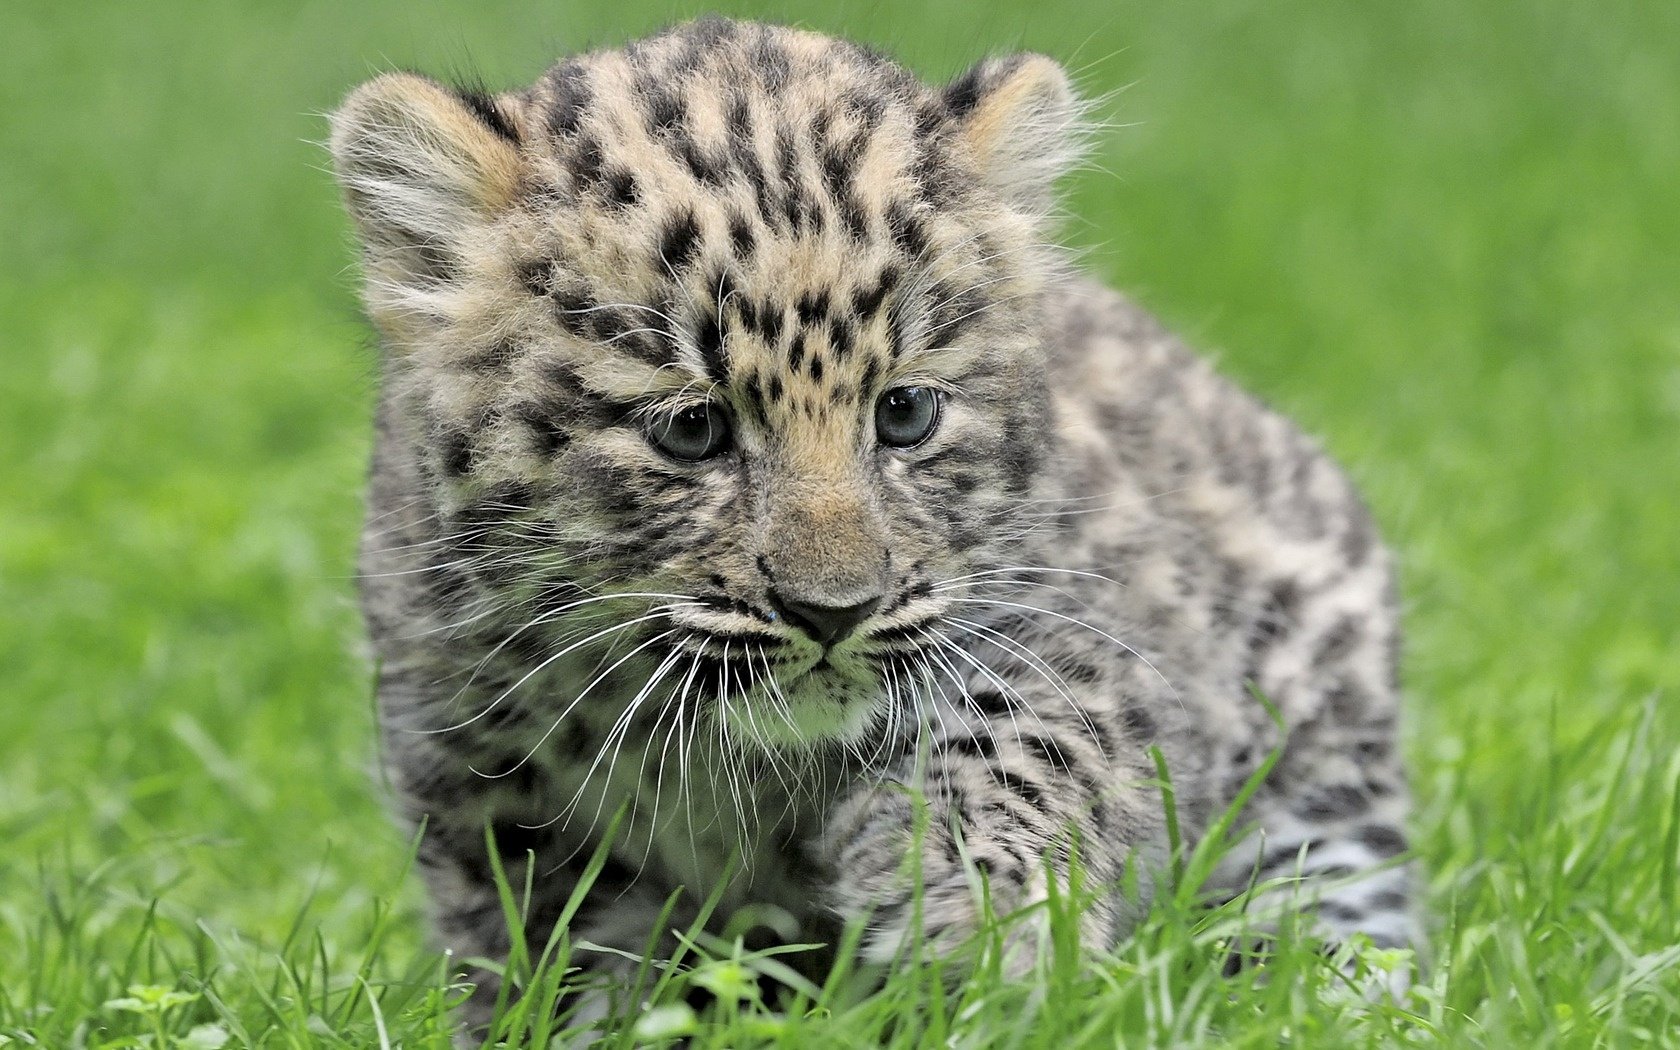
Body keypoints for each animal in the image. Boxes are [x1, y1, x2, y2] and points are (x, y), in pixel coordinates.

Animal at [328, 15, 1419, 1034]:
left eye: (905, 414)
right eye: (691, 430)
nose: (833, 613)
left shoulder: (1083, 633)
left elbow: (1021, 741)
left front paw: (976, 922)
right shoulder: (479, 769)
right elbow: (559, 950)